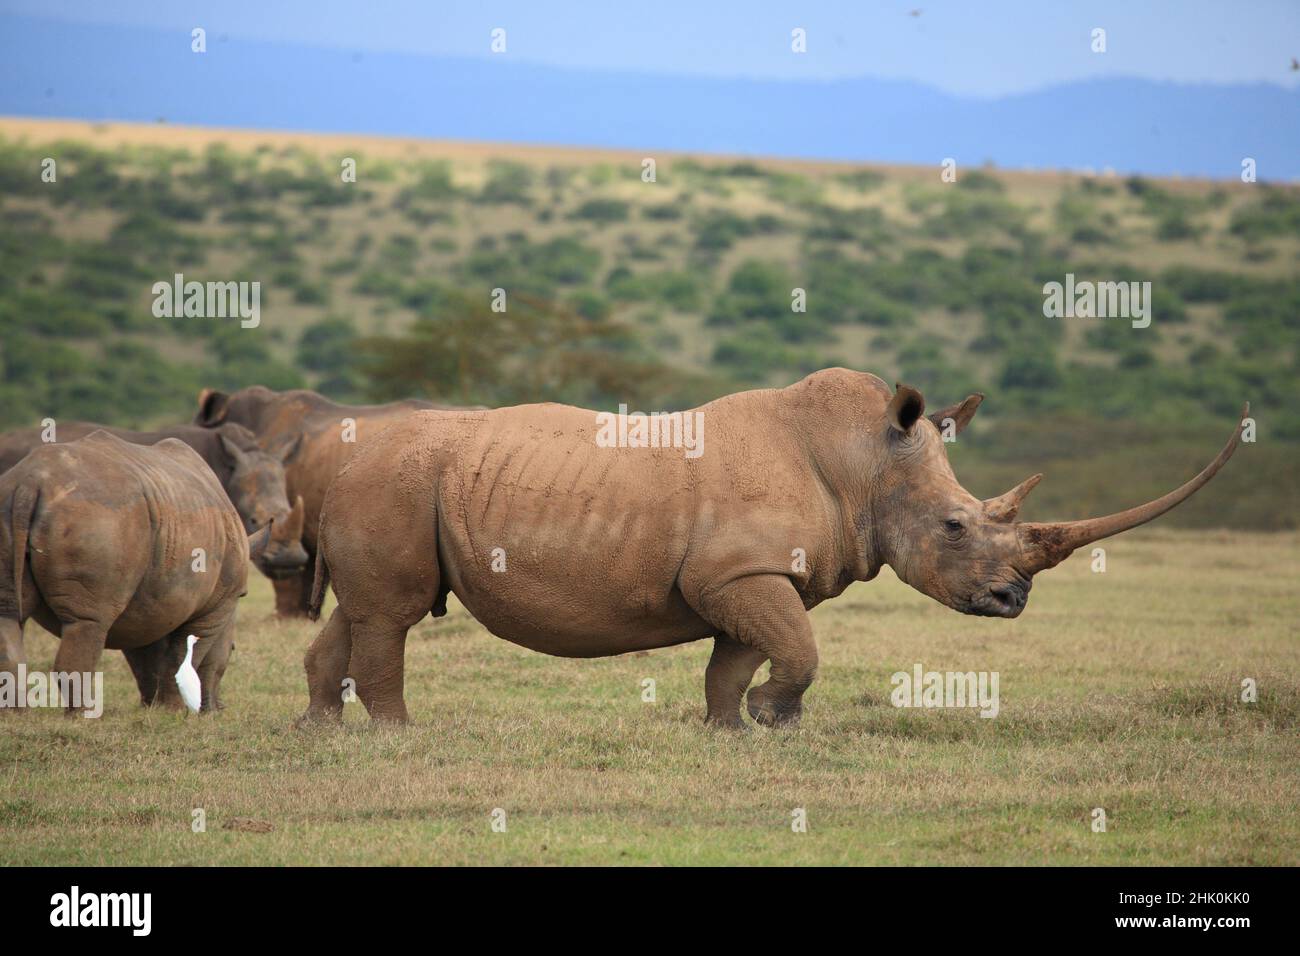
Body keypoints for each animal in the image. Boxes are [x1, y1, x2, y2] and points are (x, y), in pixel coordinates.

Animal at [0, 431, 268, 714]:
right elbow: (184, 657)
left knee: (8, 615)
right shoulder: (217, 606)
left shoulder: (148, 603)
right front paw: (176, 710)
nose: (220, 708)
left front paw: (157, 708)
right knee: (89, 621)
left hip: (17, 504)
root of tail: (30, 484)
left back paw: (17, 714)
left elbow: (147, 659)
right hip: (99, 518)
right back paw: (83, 716)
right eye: (233, 649)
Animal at [299, 369, 1246, 728]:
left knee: (362, 607)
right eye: (956, 527)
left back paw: (321, 729)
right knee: (392, 612)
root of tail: (336, 452)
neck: (865, 461)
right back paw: (397, 735)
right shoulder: (739, 570)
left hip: (388, 484)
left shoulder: (747, 575)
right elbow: (797, 650)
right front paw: (771, 719)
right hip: (395, 483)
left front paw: (737, 730)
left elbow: (743, 656)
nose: (1013, 601)